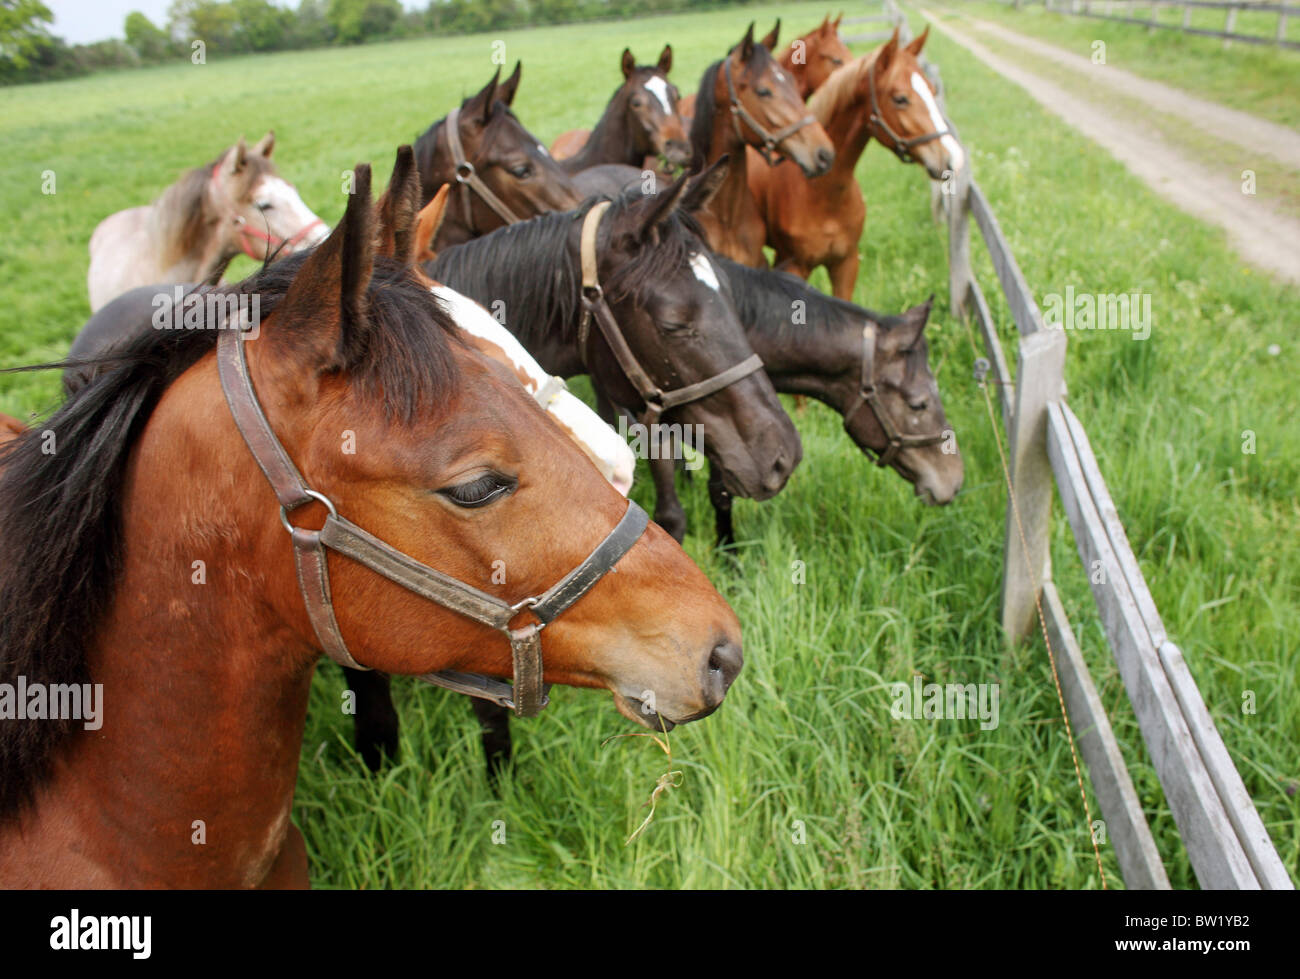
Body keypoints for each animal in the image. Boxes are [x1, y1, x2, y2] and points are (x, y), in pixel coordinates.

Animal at [747, 27, 964, 299]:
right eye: (900, 99)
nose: (954, 157)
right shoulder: (793, 266)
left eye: (932, 92)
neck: (821, 191)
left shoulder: (847, 264)